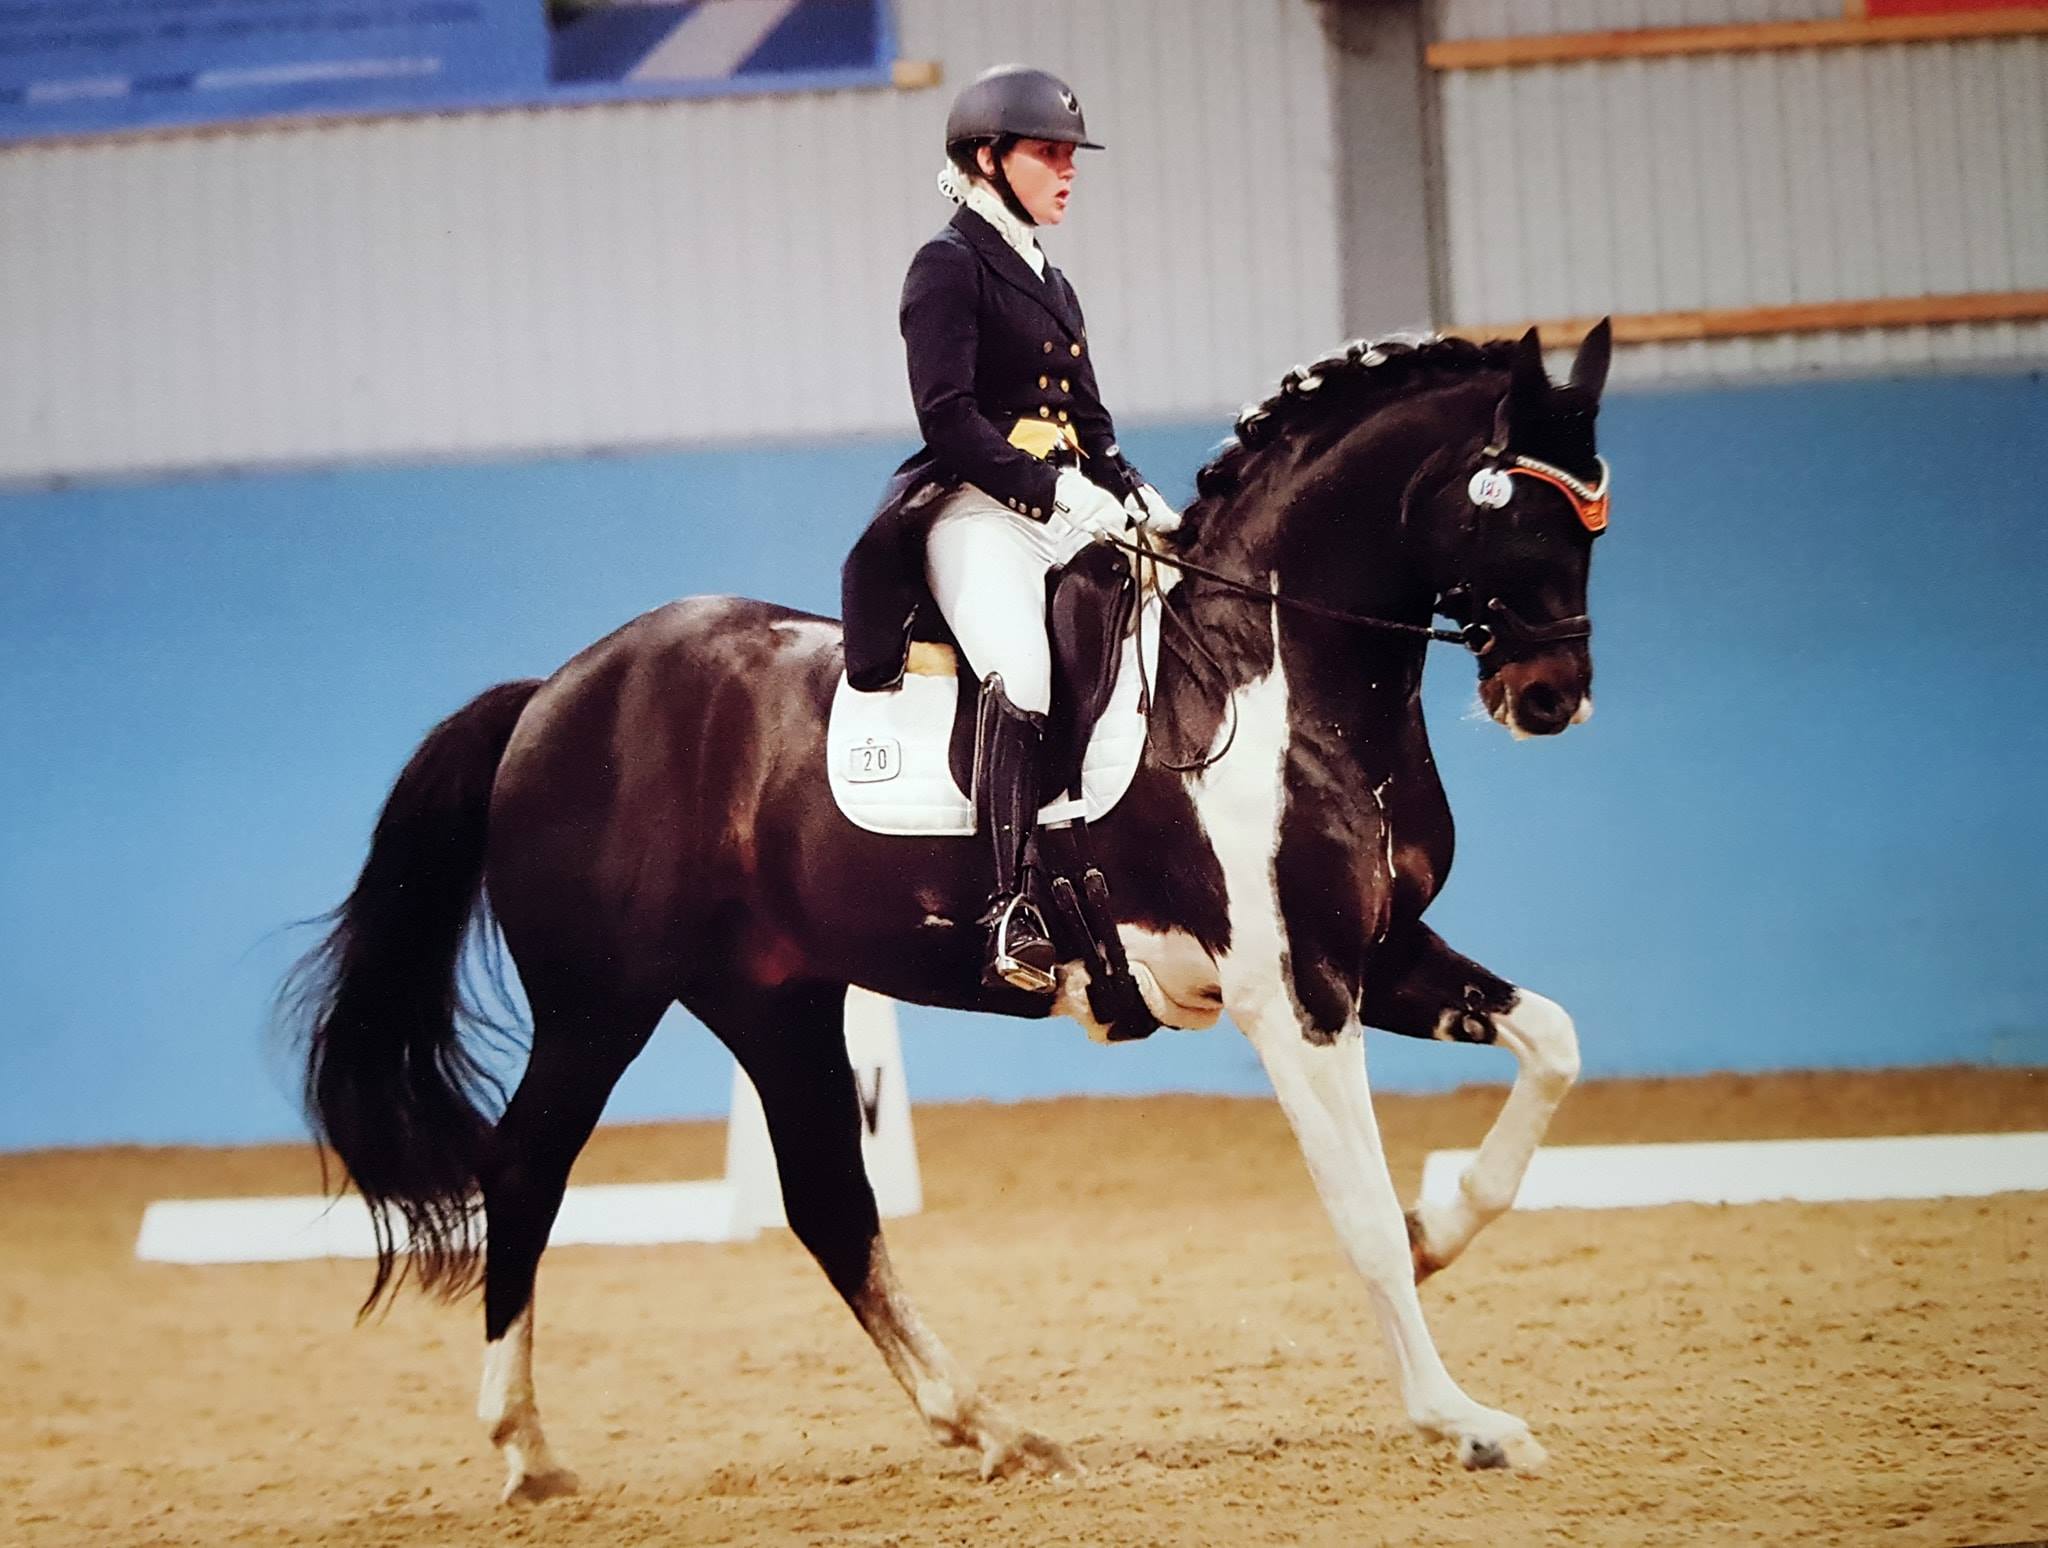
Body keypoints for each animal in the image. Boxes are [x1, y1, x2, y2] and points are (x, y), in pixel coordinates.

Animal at [286, 321, 1613, 1501]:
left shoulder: (1375, 954)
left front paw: (1445, 1221)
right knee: (525, 1171)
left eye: (1596, 514)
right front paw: (1463, 1420)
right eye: (1510, 506)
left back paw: (996, 1432)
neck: (1268, 671)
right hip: (596, 1003)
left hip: (771, 1000)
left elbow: (1550, 1041)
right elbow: (1356, 1214)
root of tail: (553, 692)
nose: (1549, 696)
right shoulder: (1290, 991)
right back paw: (527, 1450)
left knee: (829, 1203)